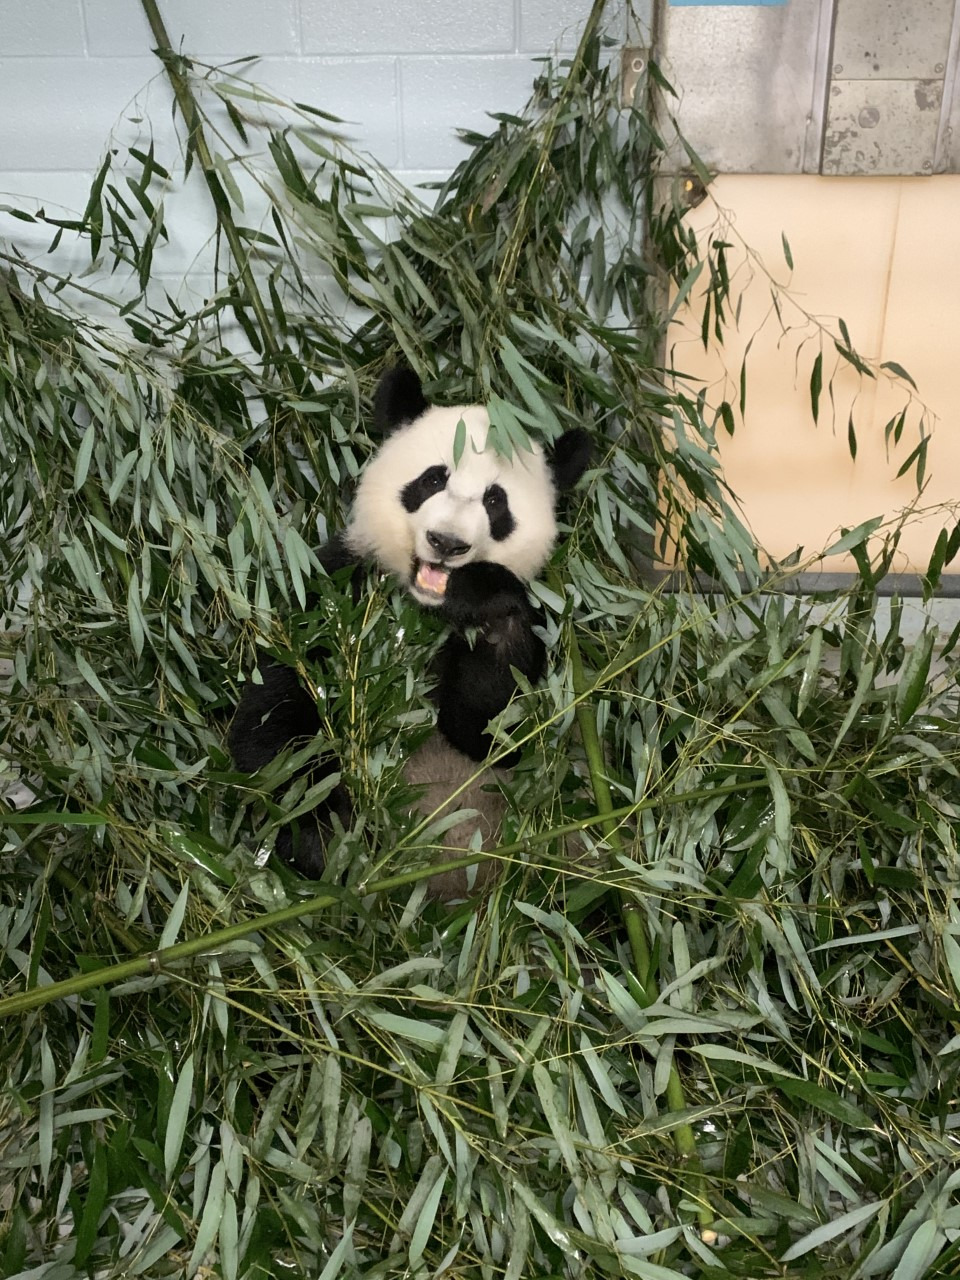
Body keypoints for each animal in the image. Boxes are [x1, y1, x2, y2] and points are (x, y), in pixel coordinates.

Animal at [229, 366, 591, 899]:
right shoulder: (336, 594)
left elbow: (502, 732)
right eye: (433, 478)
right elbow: (278, 724)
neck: (422, 613)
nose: (447, 542)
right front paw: (327, 843)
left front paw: (480, 594)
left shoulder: (536, 636)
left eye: (495, 501)